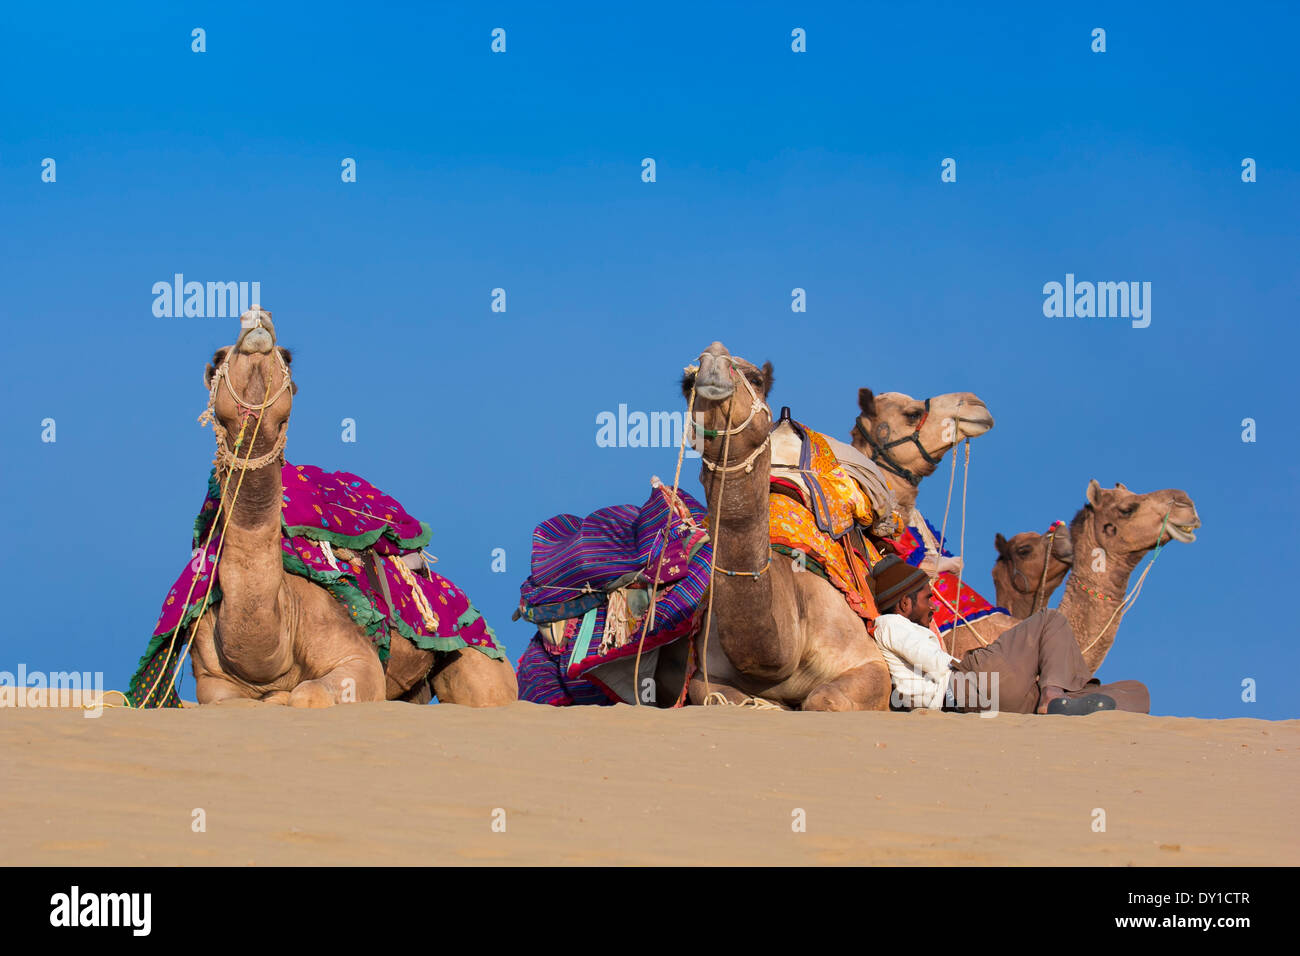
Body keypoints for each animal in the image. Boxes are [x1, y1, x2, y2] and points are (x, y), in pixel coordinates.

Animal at [188, 308, 517, 707]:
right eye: (218, 357)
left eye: (289, 357)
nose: (257, 319)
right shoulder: (211, 680)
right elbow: (233, 701)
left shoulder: (354, 655)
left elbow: (307, 694)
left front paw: (282, 697)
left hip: (476, 648)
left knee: (486, 691)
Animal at [679, 342, 891, 711]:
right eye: (687, 383)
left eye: (756, 378)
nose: (714, 358)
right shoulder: (708, 672)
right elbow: (717, 697)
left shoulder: (868, 661)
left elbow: (823, 698)